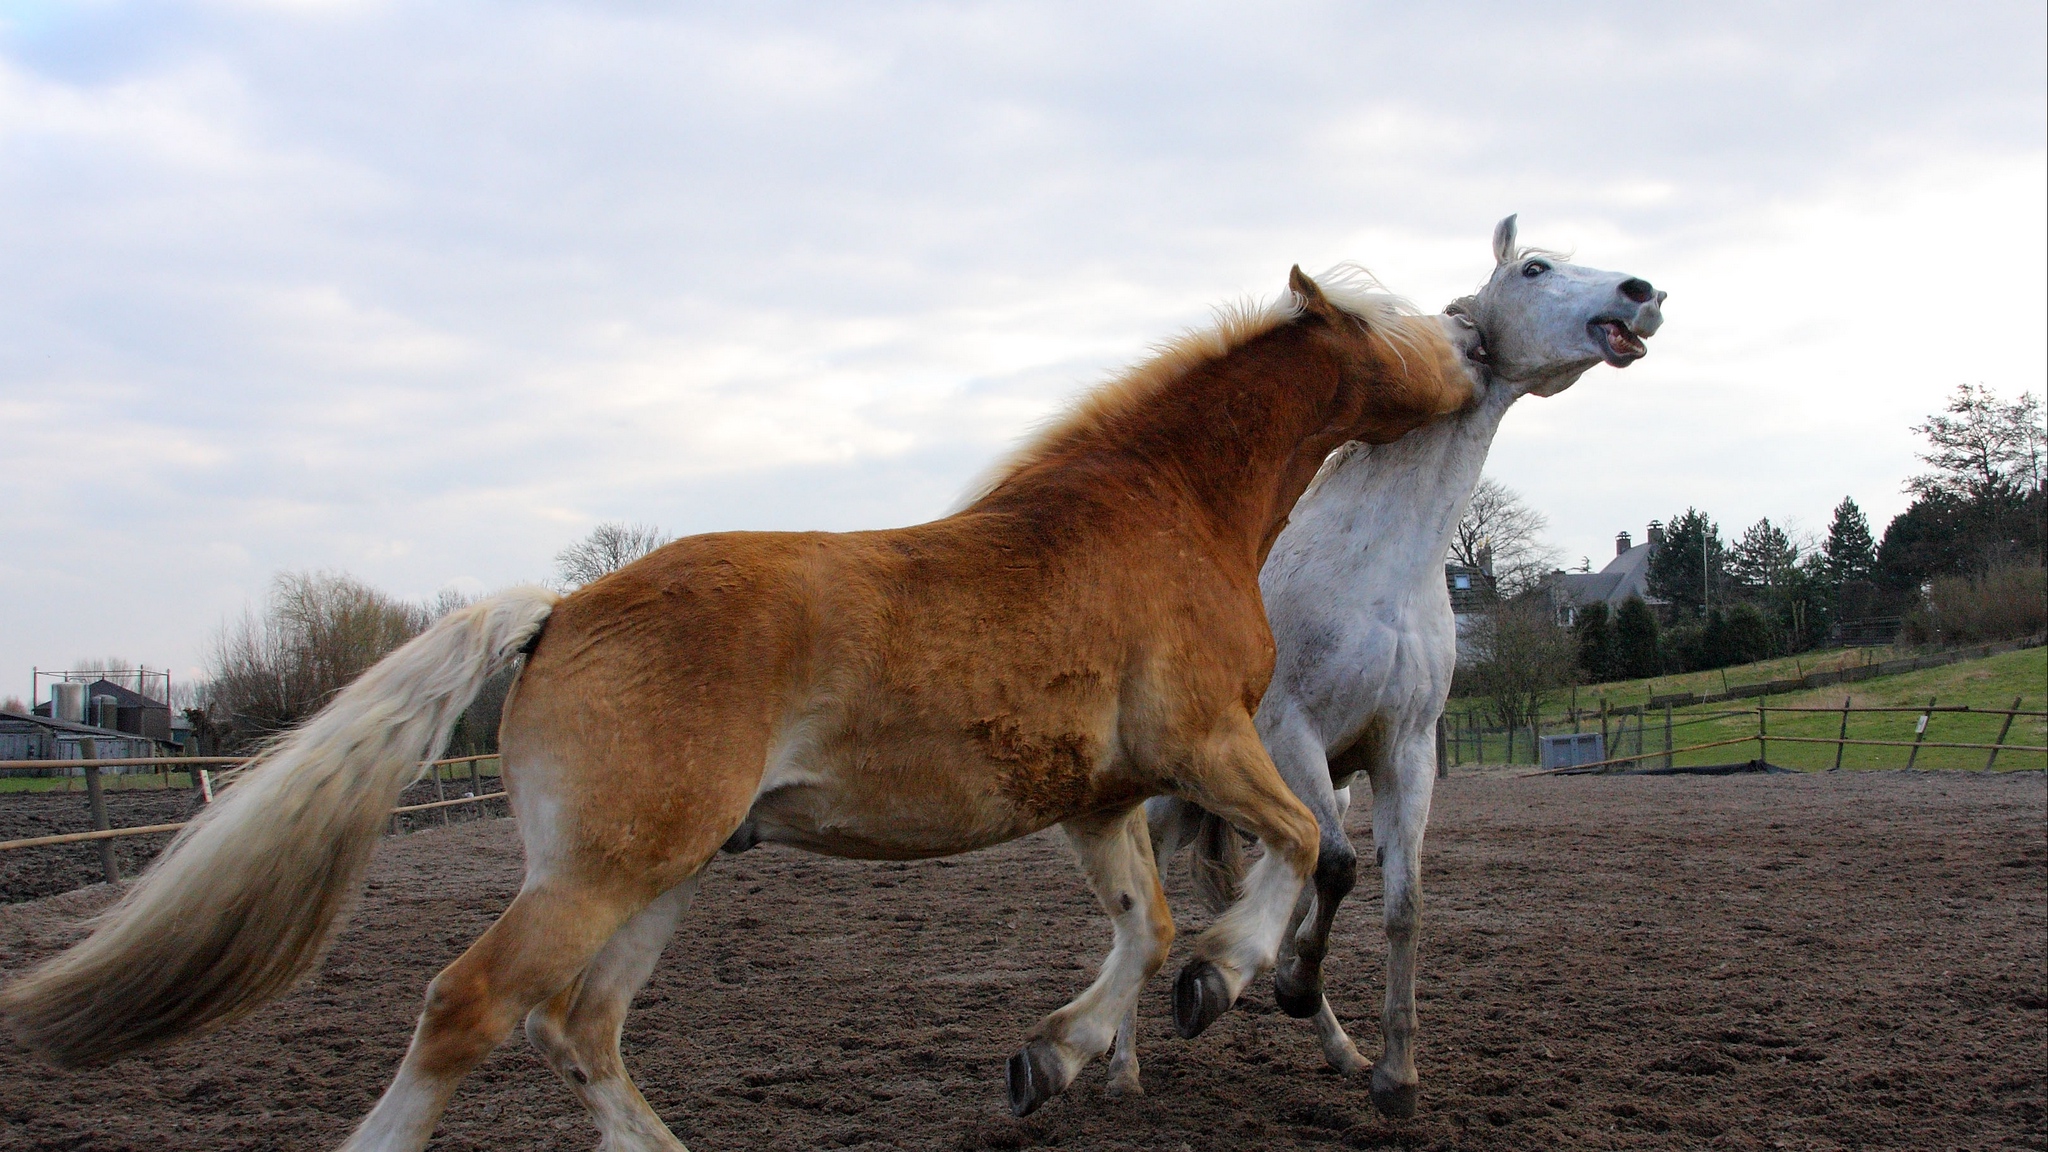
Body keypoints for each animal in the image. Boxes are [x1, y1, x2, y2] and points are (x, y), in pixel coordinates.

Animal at [2, 266, 1485, 1151]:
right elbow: (1295, 850)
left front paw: (1056, 1057)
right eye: (1397, 319)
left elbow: (1144, 924)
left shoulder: (1101, 797)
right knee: (472, 1009)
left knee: (578, 1031)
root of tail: (559, 611)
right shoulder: (1207, 744)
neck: (1165, 511)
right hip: (603, 872)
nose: (1472, 352)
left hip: (660, 874)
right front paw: (1221, 985)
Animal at [1107, 217, 1667, 1117]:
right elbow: (1337, 867)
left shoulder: (1402, 749)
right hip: (1166, 807)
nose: (1642, 293)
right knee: (1147, 914)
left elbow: (1401, 901)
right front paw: (1284, 987)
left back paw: (1323, 1040)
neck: (1381, 571)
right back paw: (1124, 1066)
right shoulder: (1292, 733)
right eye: (1536, 269)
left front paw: (1393, 1074)